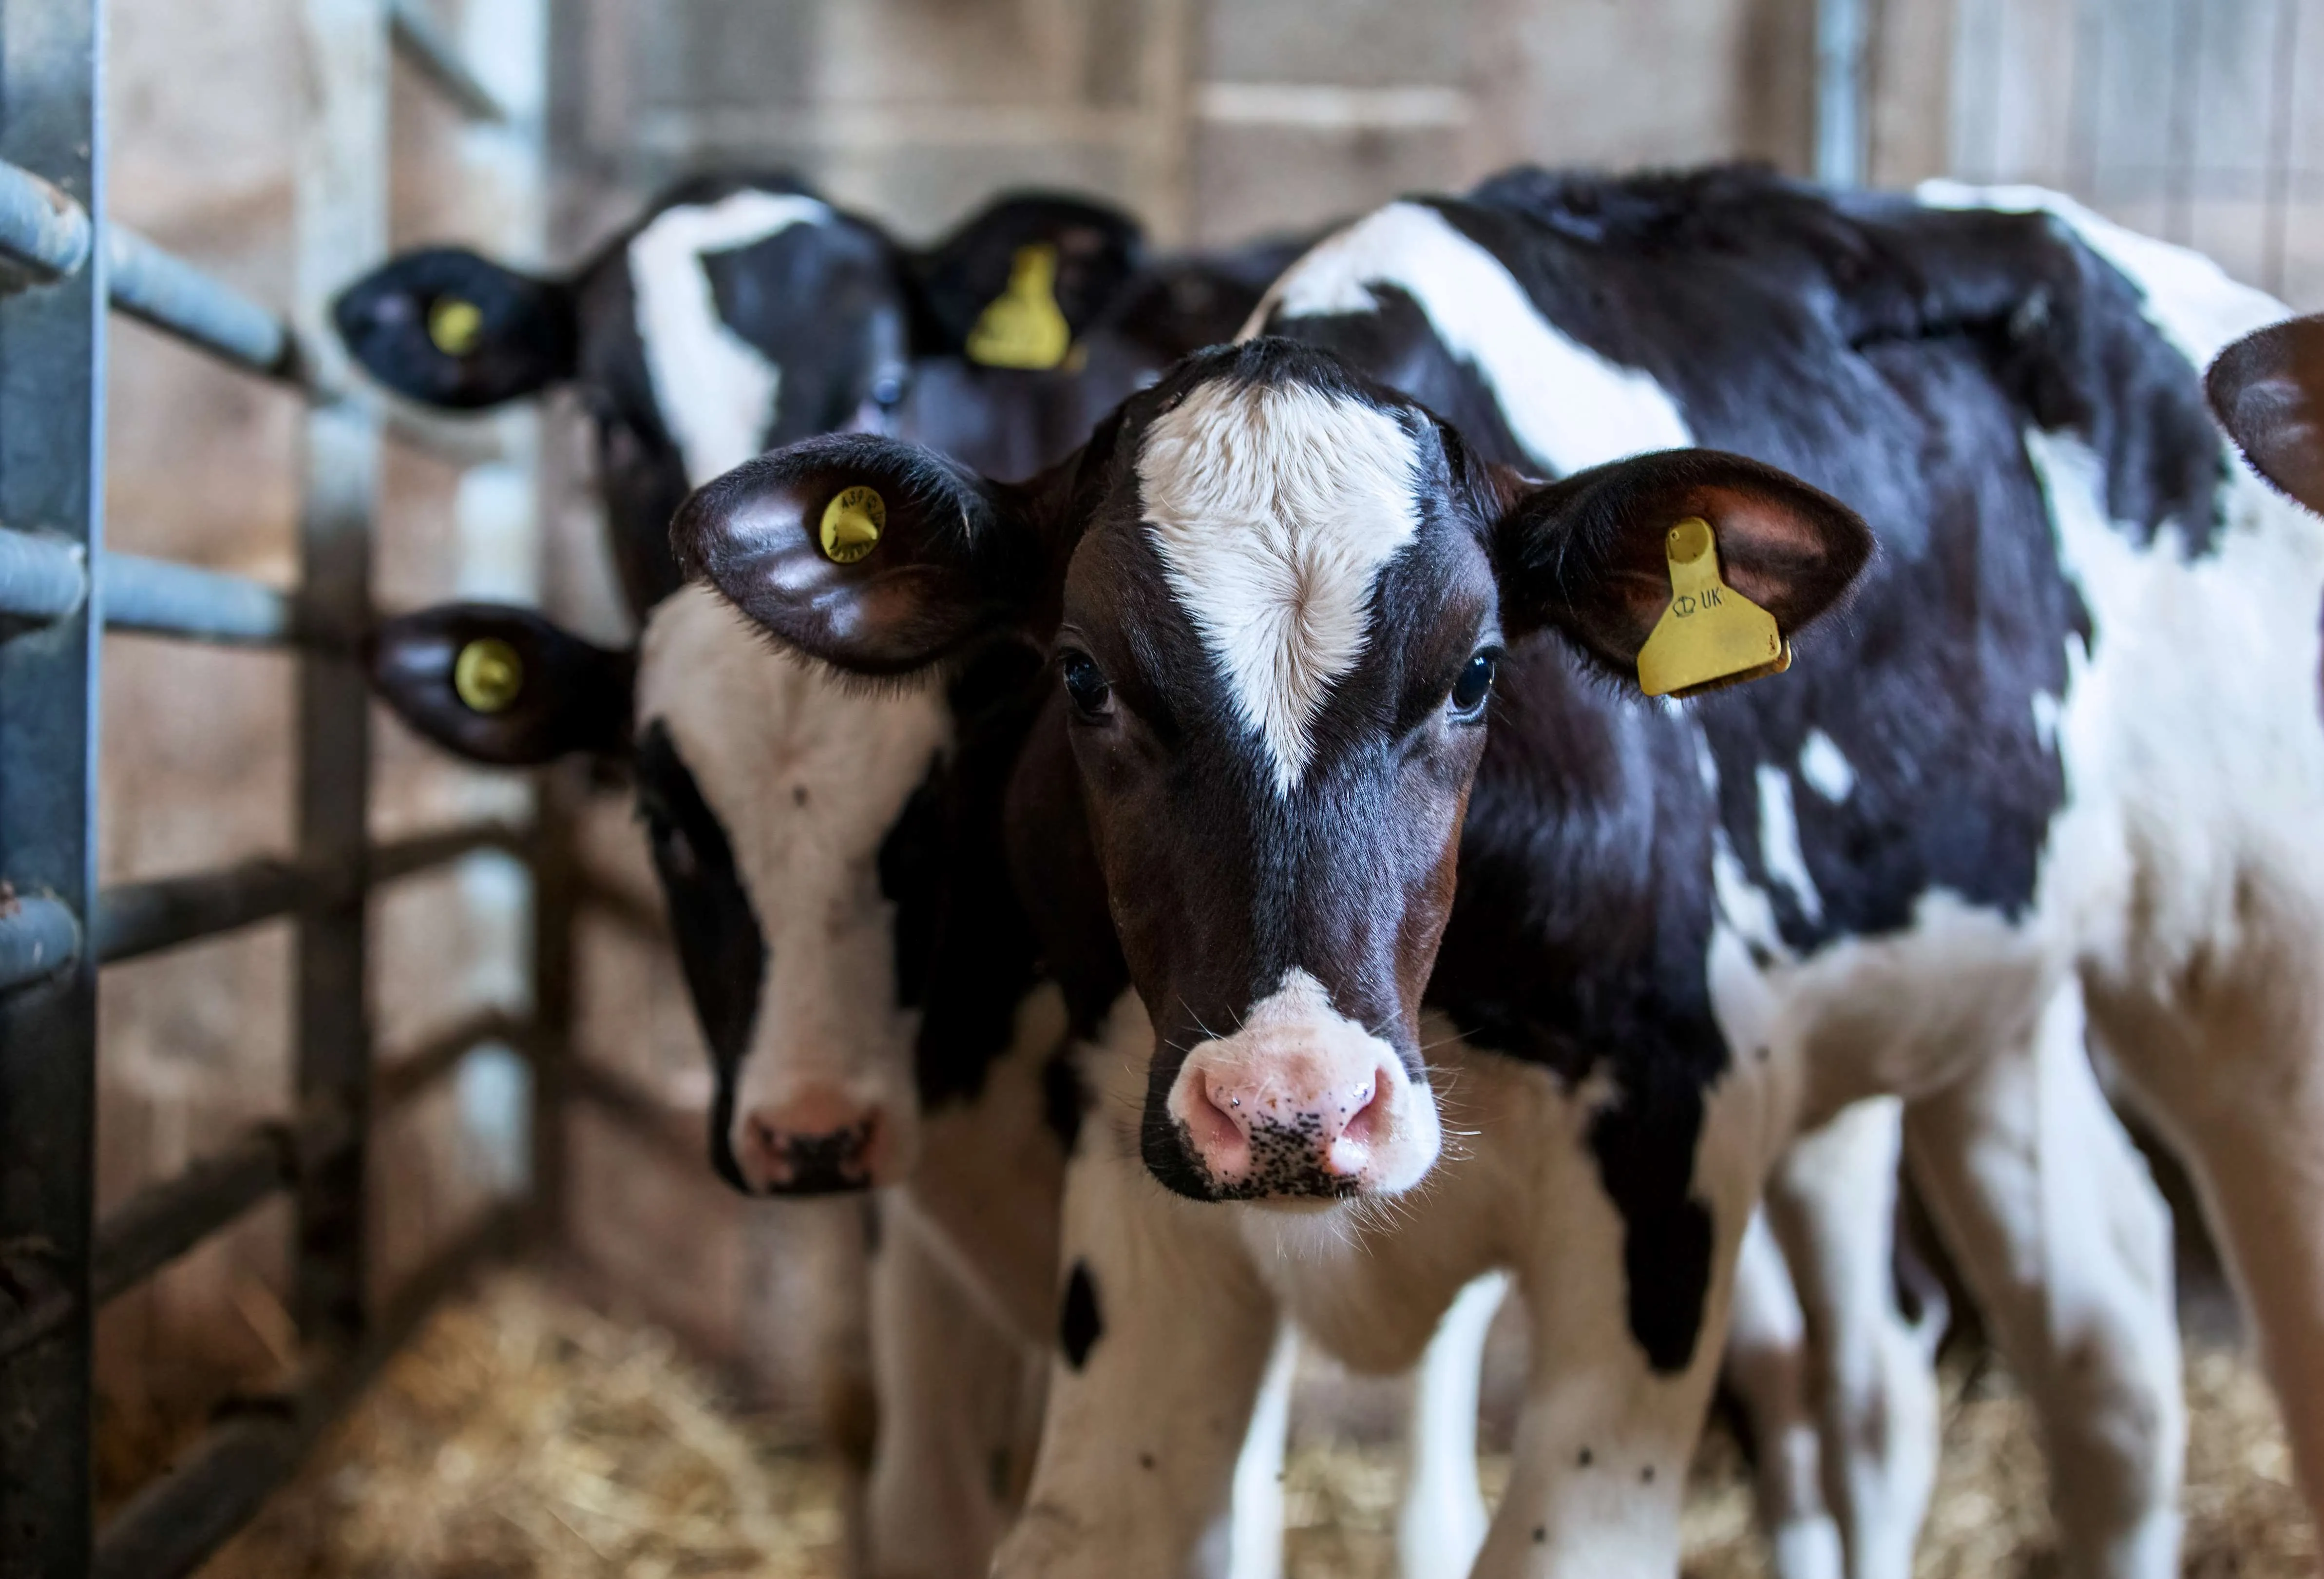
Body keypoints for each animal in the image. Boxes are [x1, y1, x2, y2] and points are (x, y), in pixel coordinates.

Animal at [672, 166, 2273, 1576]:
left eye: (1477, 672)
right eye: (1082, 676)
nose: (1294, 1106)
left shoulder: (1668, 1147)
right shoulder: (1134, 1152)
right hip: (1991, 1006)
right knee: (2103, 1331)